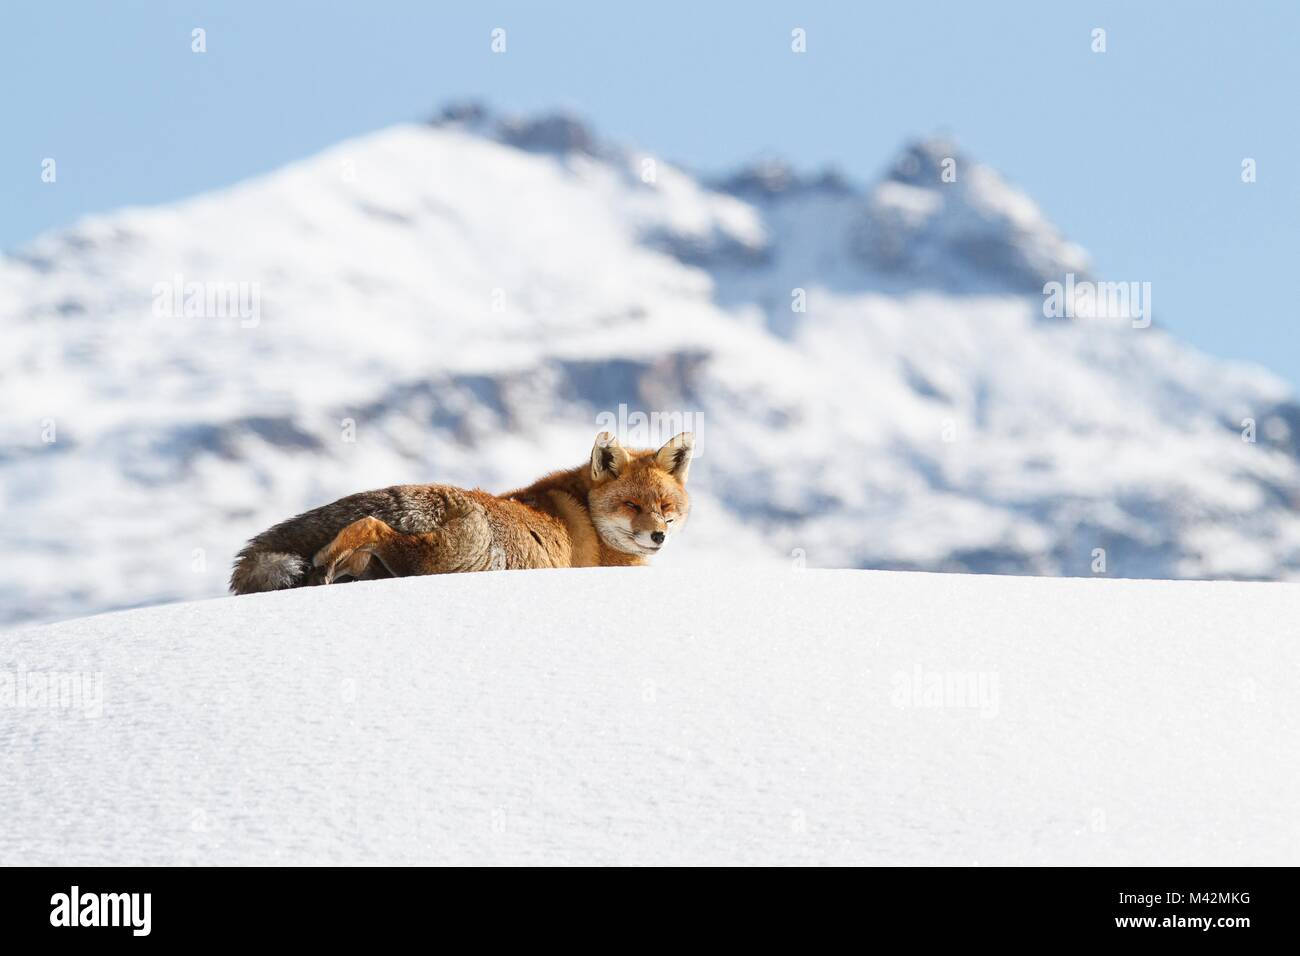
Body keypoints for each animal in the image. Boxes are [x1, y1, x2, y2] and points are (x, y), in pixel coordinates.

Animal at [229, 431, 694, 595]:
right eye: (632, 505)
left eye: (665, 506)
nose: (659, 535)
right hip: (451, 559)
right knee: (370, 525)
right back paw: (325, 562)